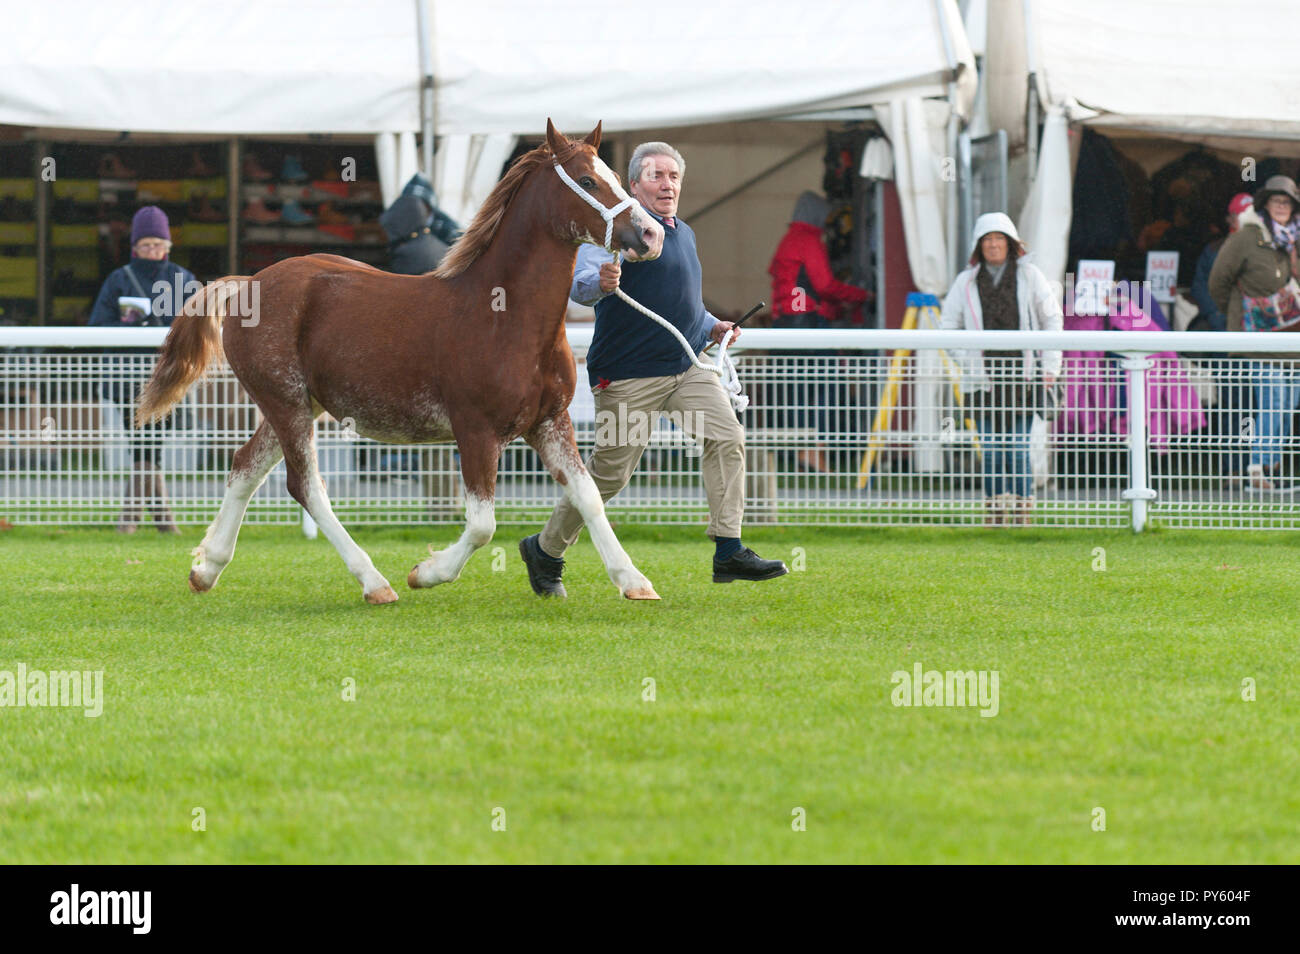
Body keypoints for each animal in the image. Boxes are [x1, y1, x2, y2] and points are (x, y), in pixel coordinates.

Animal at [135, 120, 665, 605]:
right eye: (589, 180)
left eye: (616, 176)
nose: (651, 234)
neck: (505, 315)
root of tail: (247, 283)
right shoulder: (476, 431)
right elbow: (482, 525)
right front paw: (426, 573)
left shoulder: (549, 422)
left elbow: (589, 496)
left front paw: (634, 580)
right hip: (286, 404)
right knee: (305, 485)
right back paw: (375, 582)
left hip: (295, 405)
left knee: (246, 466)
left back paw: (207, 568)